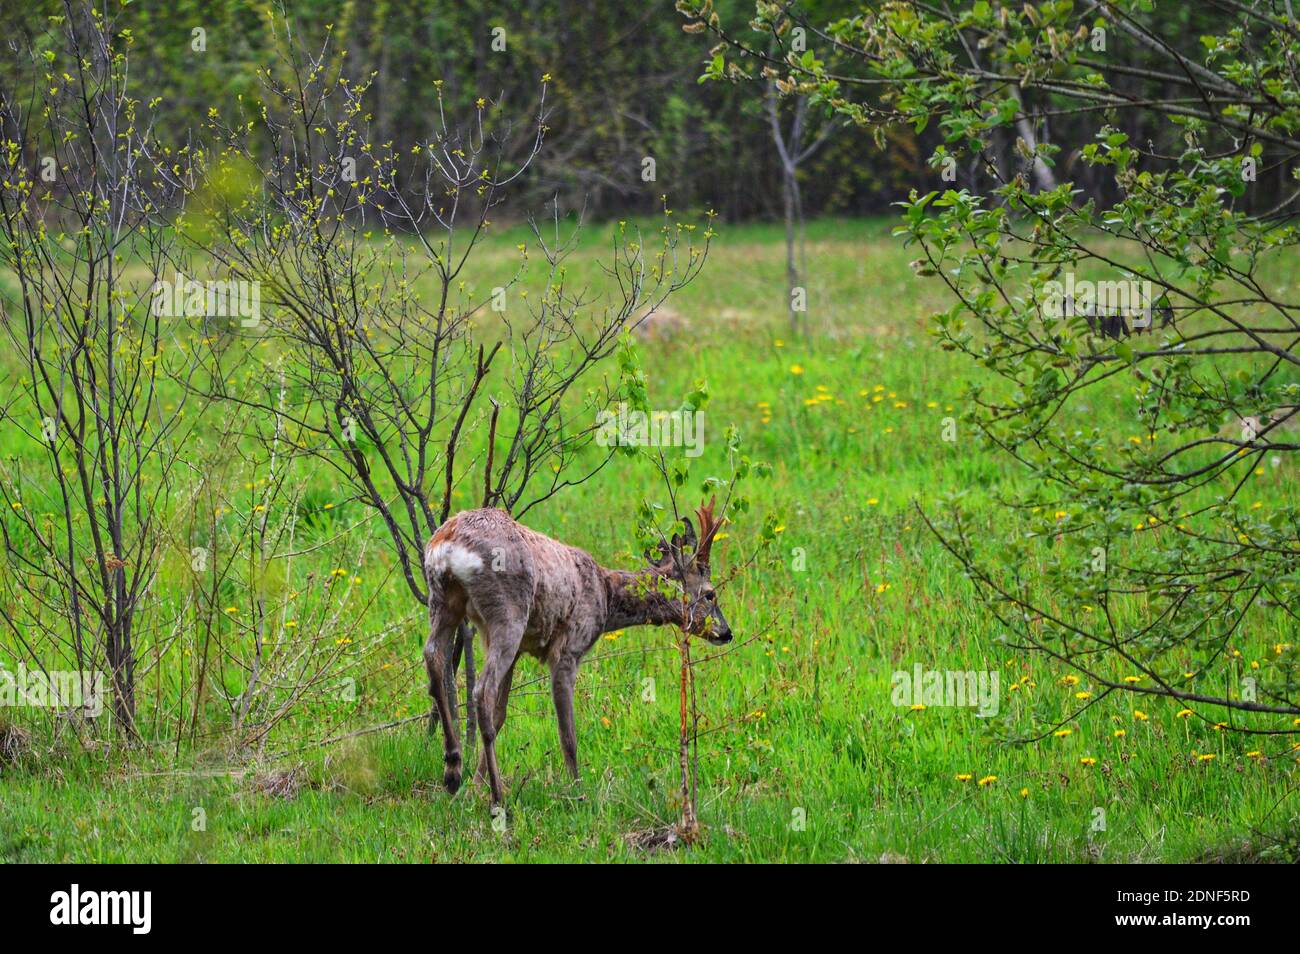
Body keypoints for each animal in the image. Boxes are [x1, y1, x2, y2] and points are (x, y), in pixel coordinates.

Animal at [422, 497, 730, 805]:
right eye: (710, 593)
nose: (727, 633)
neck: (606, 595)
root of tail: (448, 542)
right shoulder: (569, 648)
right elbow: (567, 731)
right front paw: (577, 790)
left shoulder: (521, 648)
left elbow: (501, 716)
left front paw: (475, 786)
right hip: (508, 613)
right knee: (481, 690)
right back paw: (498, 797)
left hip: (445, 600)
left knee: (433, 656)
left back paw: (453, 769)